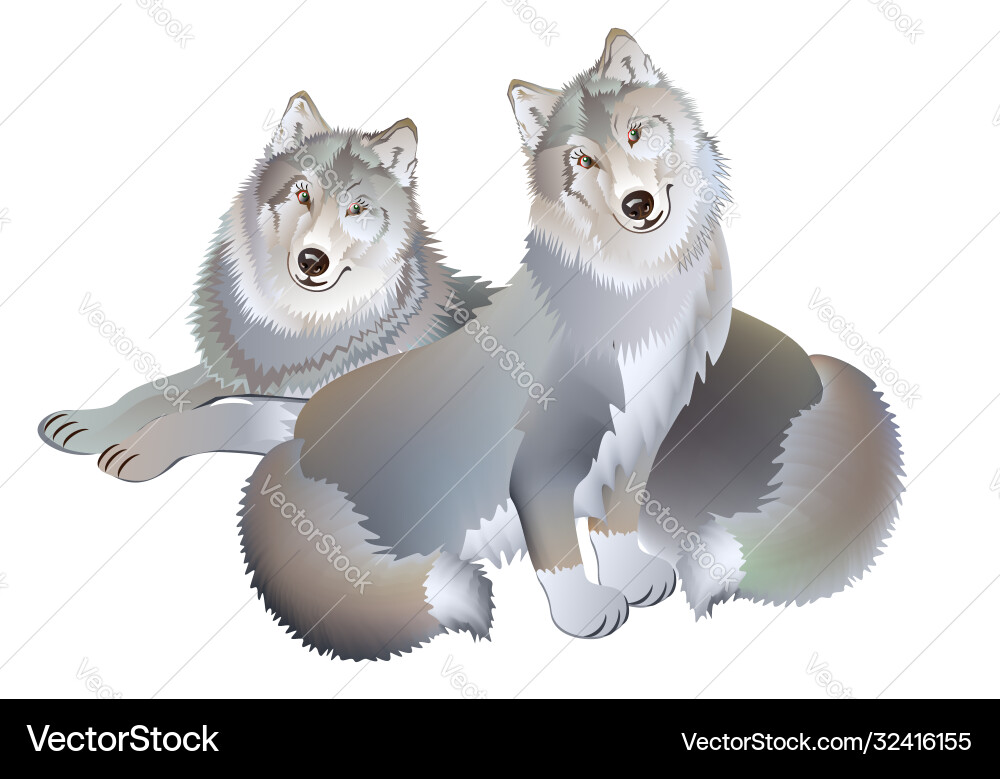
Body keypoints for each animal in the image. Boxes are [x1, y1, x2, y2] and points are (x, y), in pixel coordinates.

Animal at [37, 92, 493, 482]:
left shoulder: (328, 414)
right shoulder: (243, 367)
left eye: (356, 208)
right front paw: (90, 422)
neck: (301, 321)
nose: (313, 260)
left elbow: (228, 414)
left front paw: (141, 447)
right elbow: (151, 391)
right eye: (303, 194)